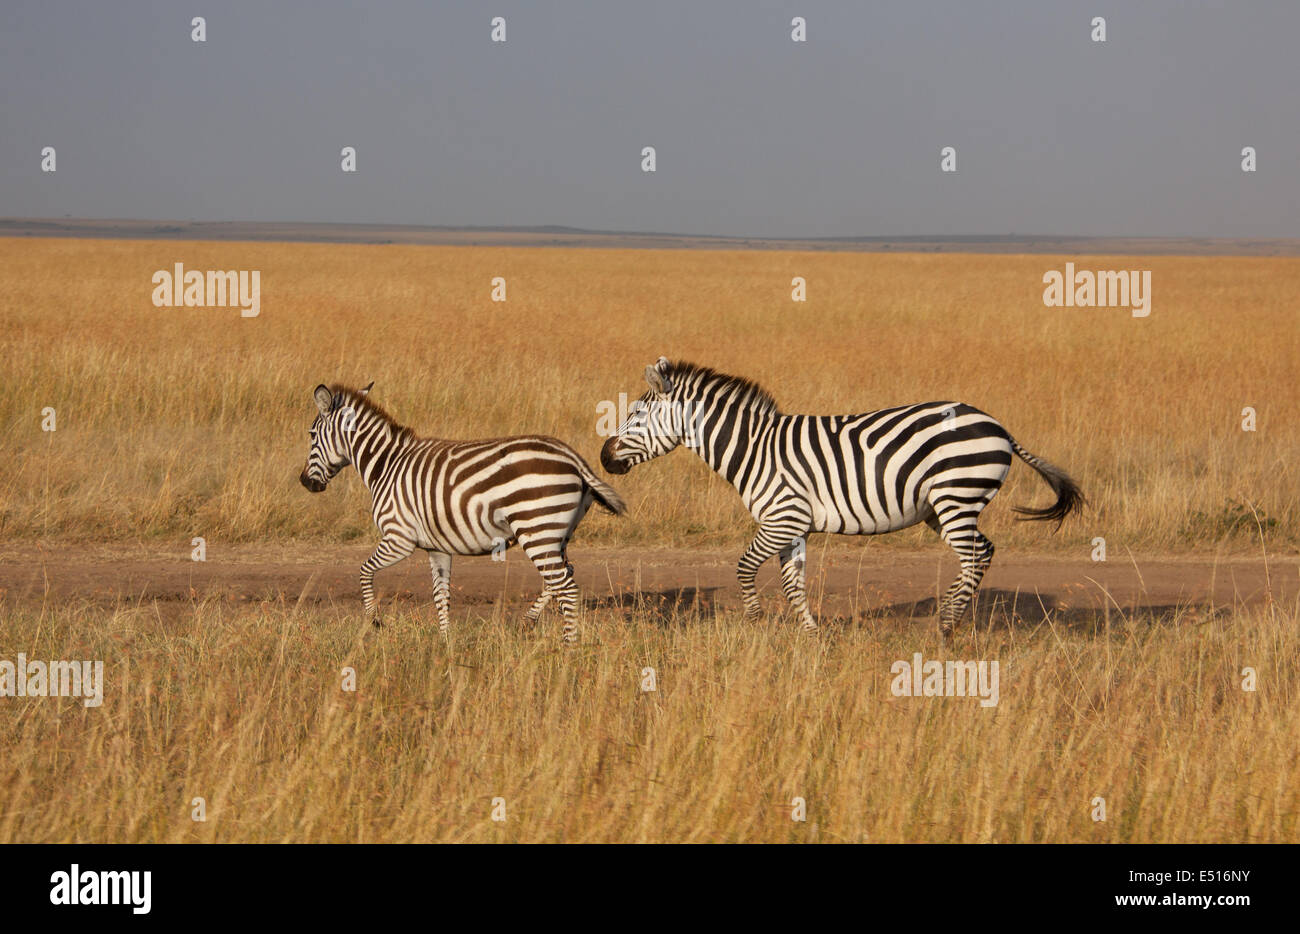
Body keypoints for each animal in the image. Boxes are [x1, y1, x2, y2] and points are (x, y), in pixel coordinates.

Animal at [300, 382, 625, 644]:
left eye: (312, 435)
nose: (305, 482)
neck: (386, 465)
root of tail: (573, 457)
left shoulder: (398, 538)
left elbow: (364, 571)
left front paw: (375, 621)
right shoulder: (437, 547)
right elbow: (440, 595)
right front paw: (445, 643)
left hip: (536, 529)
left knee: (567, 588)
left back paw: (569, 649)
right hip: (556, 534)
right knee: (561, 577)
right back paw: (528, 622)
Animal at [600, 358, 1083, 634]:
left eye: (636, 414)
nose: (604, 456)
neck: (754, 448)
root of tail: (998, 425)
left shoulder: (782, 518)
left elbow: (743, 568)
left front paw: (754, 623)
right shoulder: (794, 527)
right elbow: (793, 583)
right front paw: (810, 634)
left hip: (957, 497)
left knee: (975, 555)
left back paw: (946, 624)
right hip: (945, 508)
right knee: (983, 552)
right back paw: (951, 615)